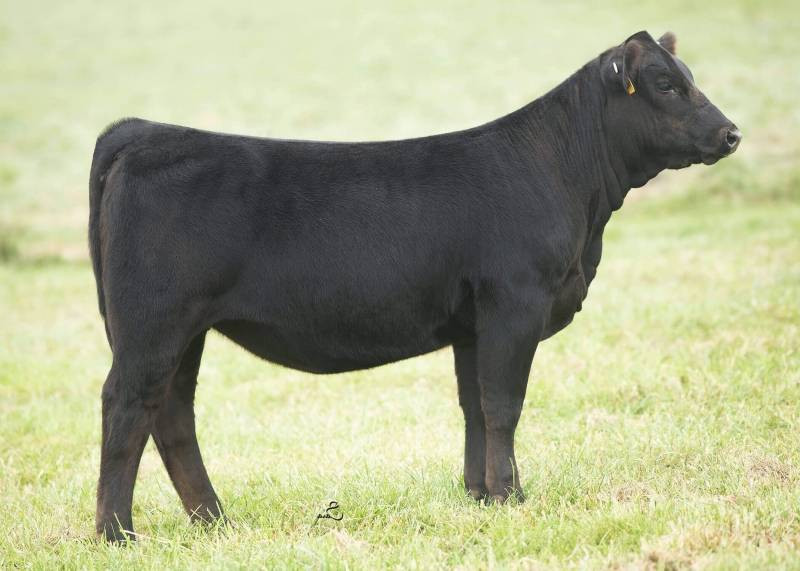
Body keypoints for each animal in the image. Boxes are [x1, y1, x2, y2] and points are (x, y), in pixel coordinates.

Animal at [88, 31, 741, 541]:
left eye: (687, 77)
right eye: (664, 84)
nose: (731, 133)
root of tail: (141, 131)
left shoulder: (473, 324)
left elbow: (475, 406)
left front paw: (484, 495)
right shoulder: (514, 302)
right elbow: (504, 404)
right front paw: (510, 498)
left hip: (184, 329)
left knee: (172, 414)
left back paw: (213, 522)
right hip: (154, 323)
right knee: (127, 407)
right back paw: (117, 534)